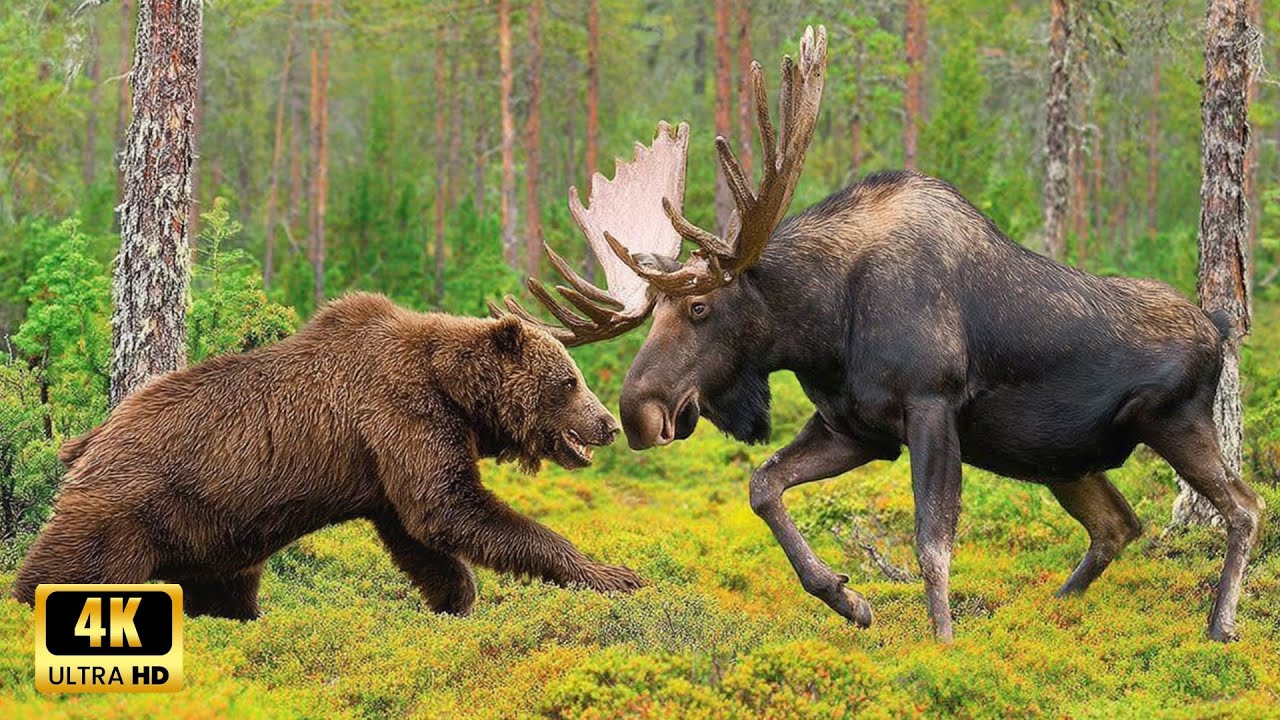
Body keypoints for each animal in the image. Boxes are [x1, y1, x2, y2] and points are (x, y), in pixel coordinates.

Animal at [13, 292, 641, 618]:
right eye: (570, 381)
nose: (608, 424)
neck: (452, 389)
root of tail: (85, 441)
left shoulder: (388, 463)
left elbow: (419, 534)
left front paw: (454, 598)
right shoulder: (402, 414)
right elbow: (450, 509)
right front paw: (614, 574)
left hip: (209, 540)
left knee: (225, 591)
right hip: (132, 509)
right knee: (68, 573)